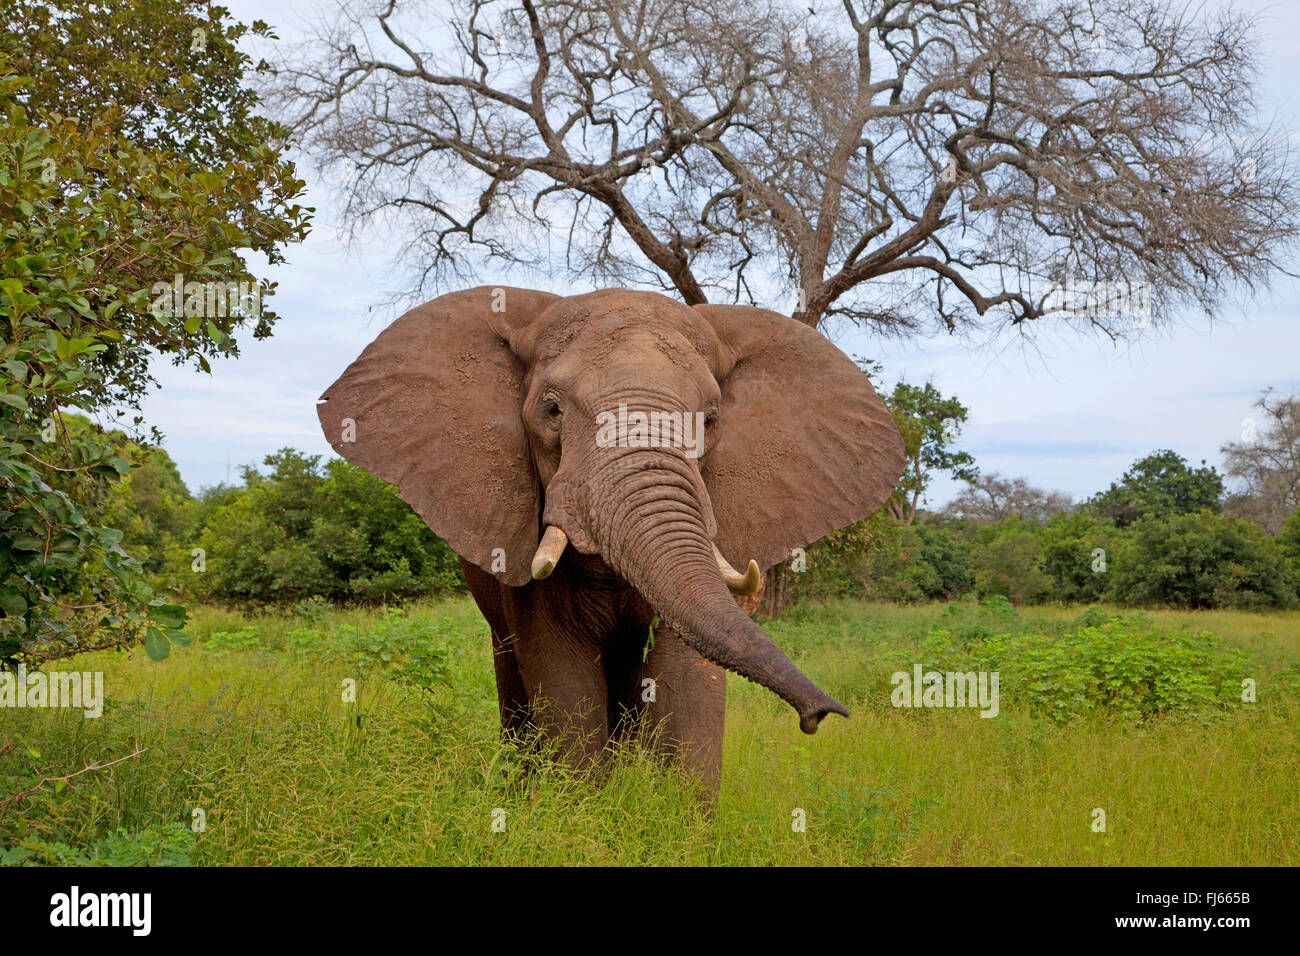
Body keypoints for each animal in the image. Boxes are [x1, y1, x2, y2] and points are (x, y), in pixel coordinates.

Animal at [316, 286, 904, 792]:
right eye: (551, 409)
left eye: (712, 420)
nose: (820, 716)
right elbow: (563, 678)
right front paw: (578, 817)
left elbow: (685, 676)